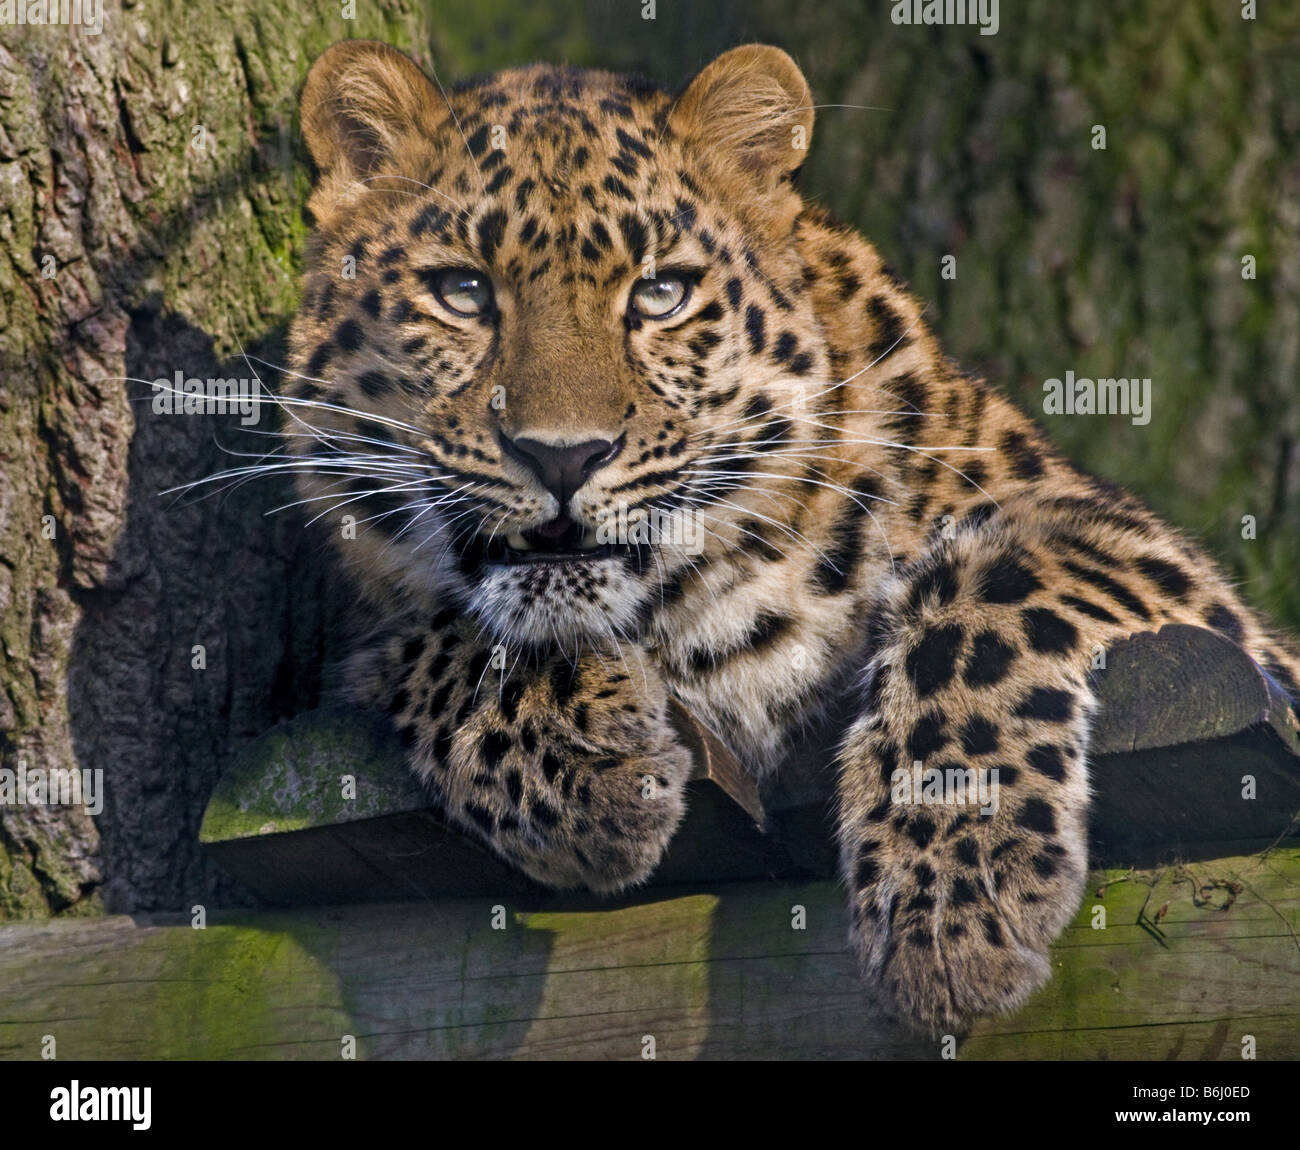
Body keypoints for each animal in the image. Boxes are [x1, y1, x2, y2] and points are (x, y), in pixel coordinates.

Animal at [278, 38, 1300, 1032]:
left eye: (661, 294)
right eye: (461, 292)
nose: (562, 457)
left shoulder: (1165, 572)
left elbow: (988, 588)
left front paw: (951, 899)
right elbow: (450, 631)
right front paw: (575, 759)